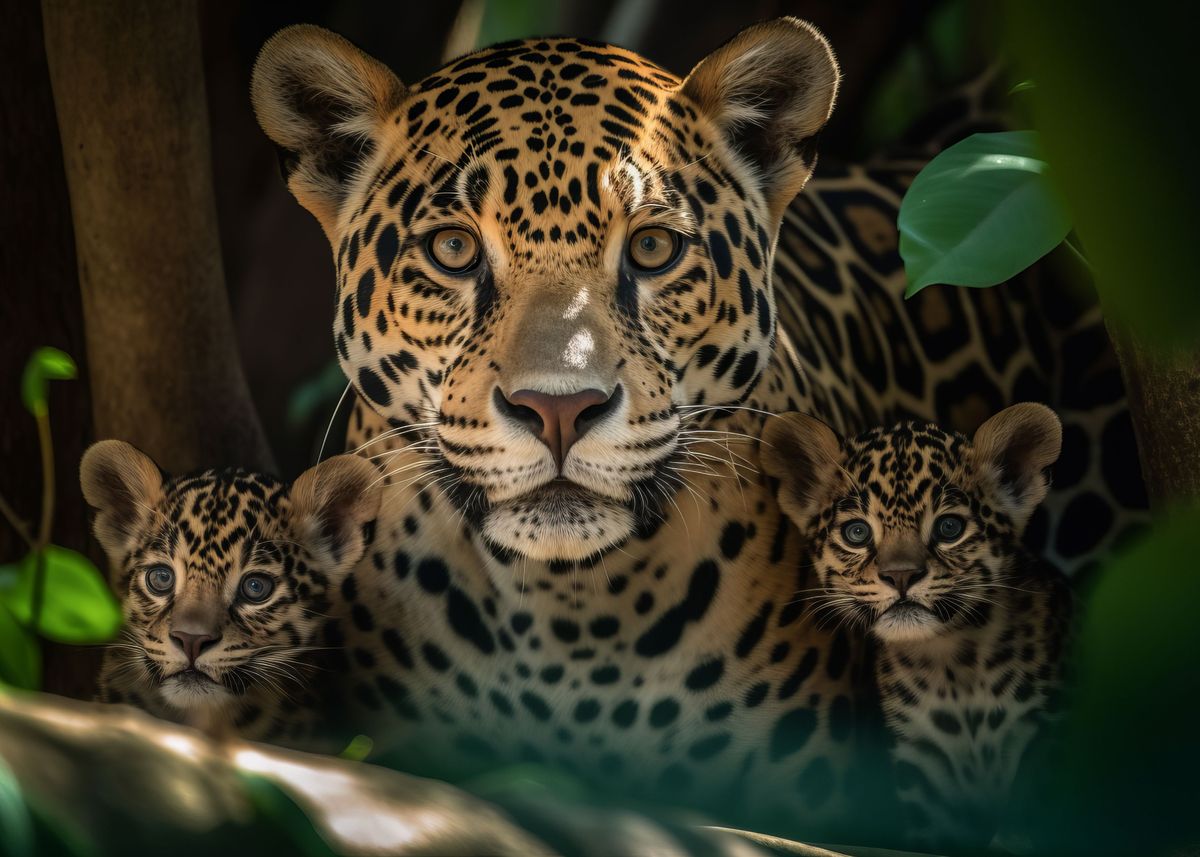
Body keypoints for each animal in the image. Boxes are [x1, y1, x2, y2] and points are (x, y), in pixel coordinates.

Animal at [762, 403, 1073, 851]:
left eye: (949, 528)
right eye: (857, 533)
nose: (901, 575)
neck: (955, 663)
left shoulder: (1046, 733)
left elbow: (1025, 823)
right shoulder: (924, 762)